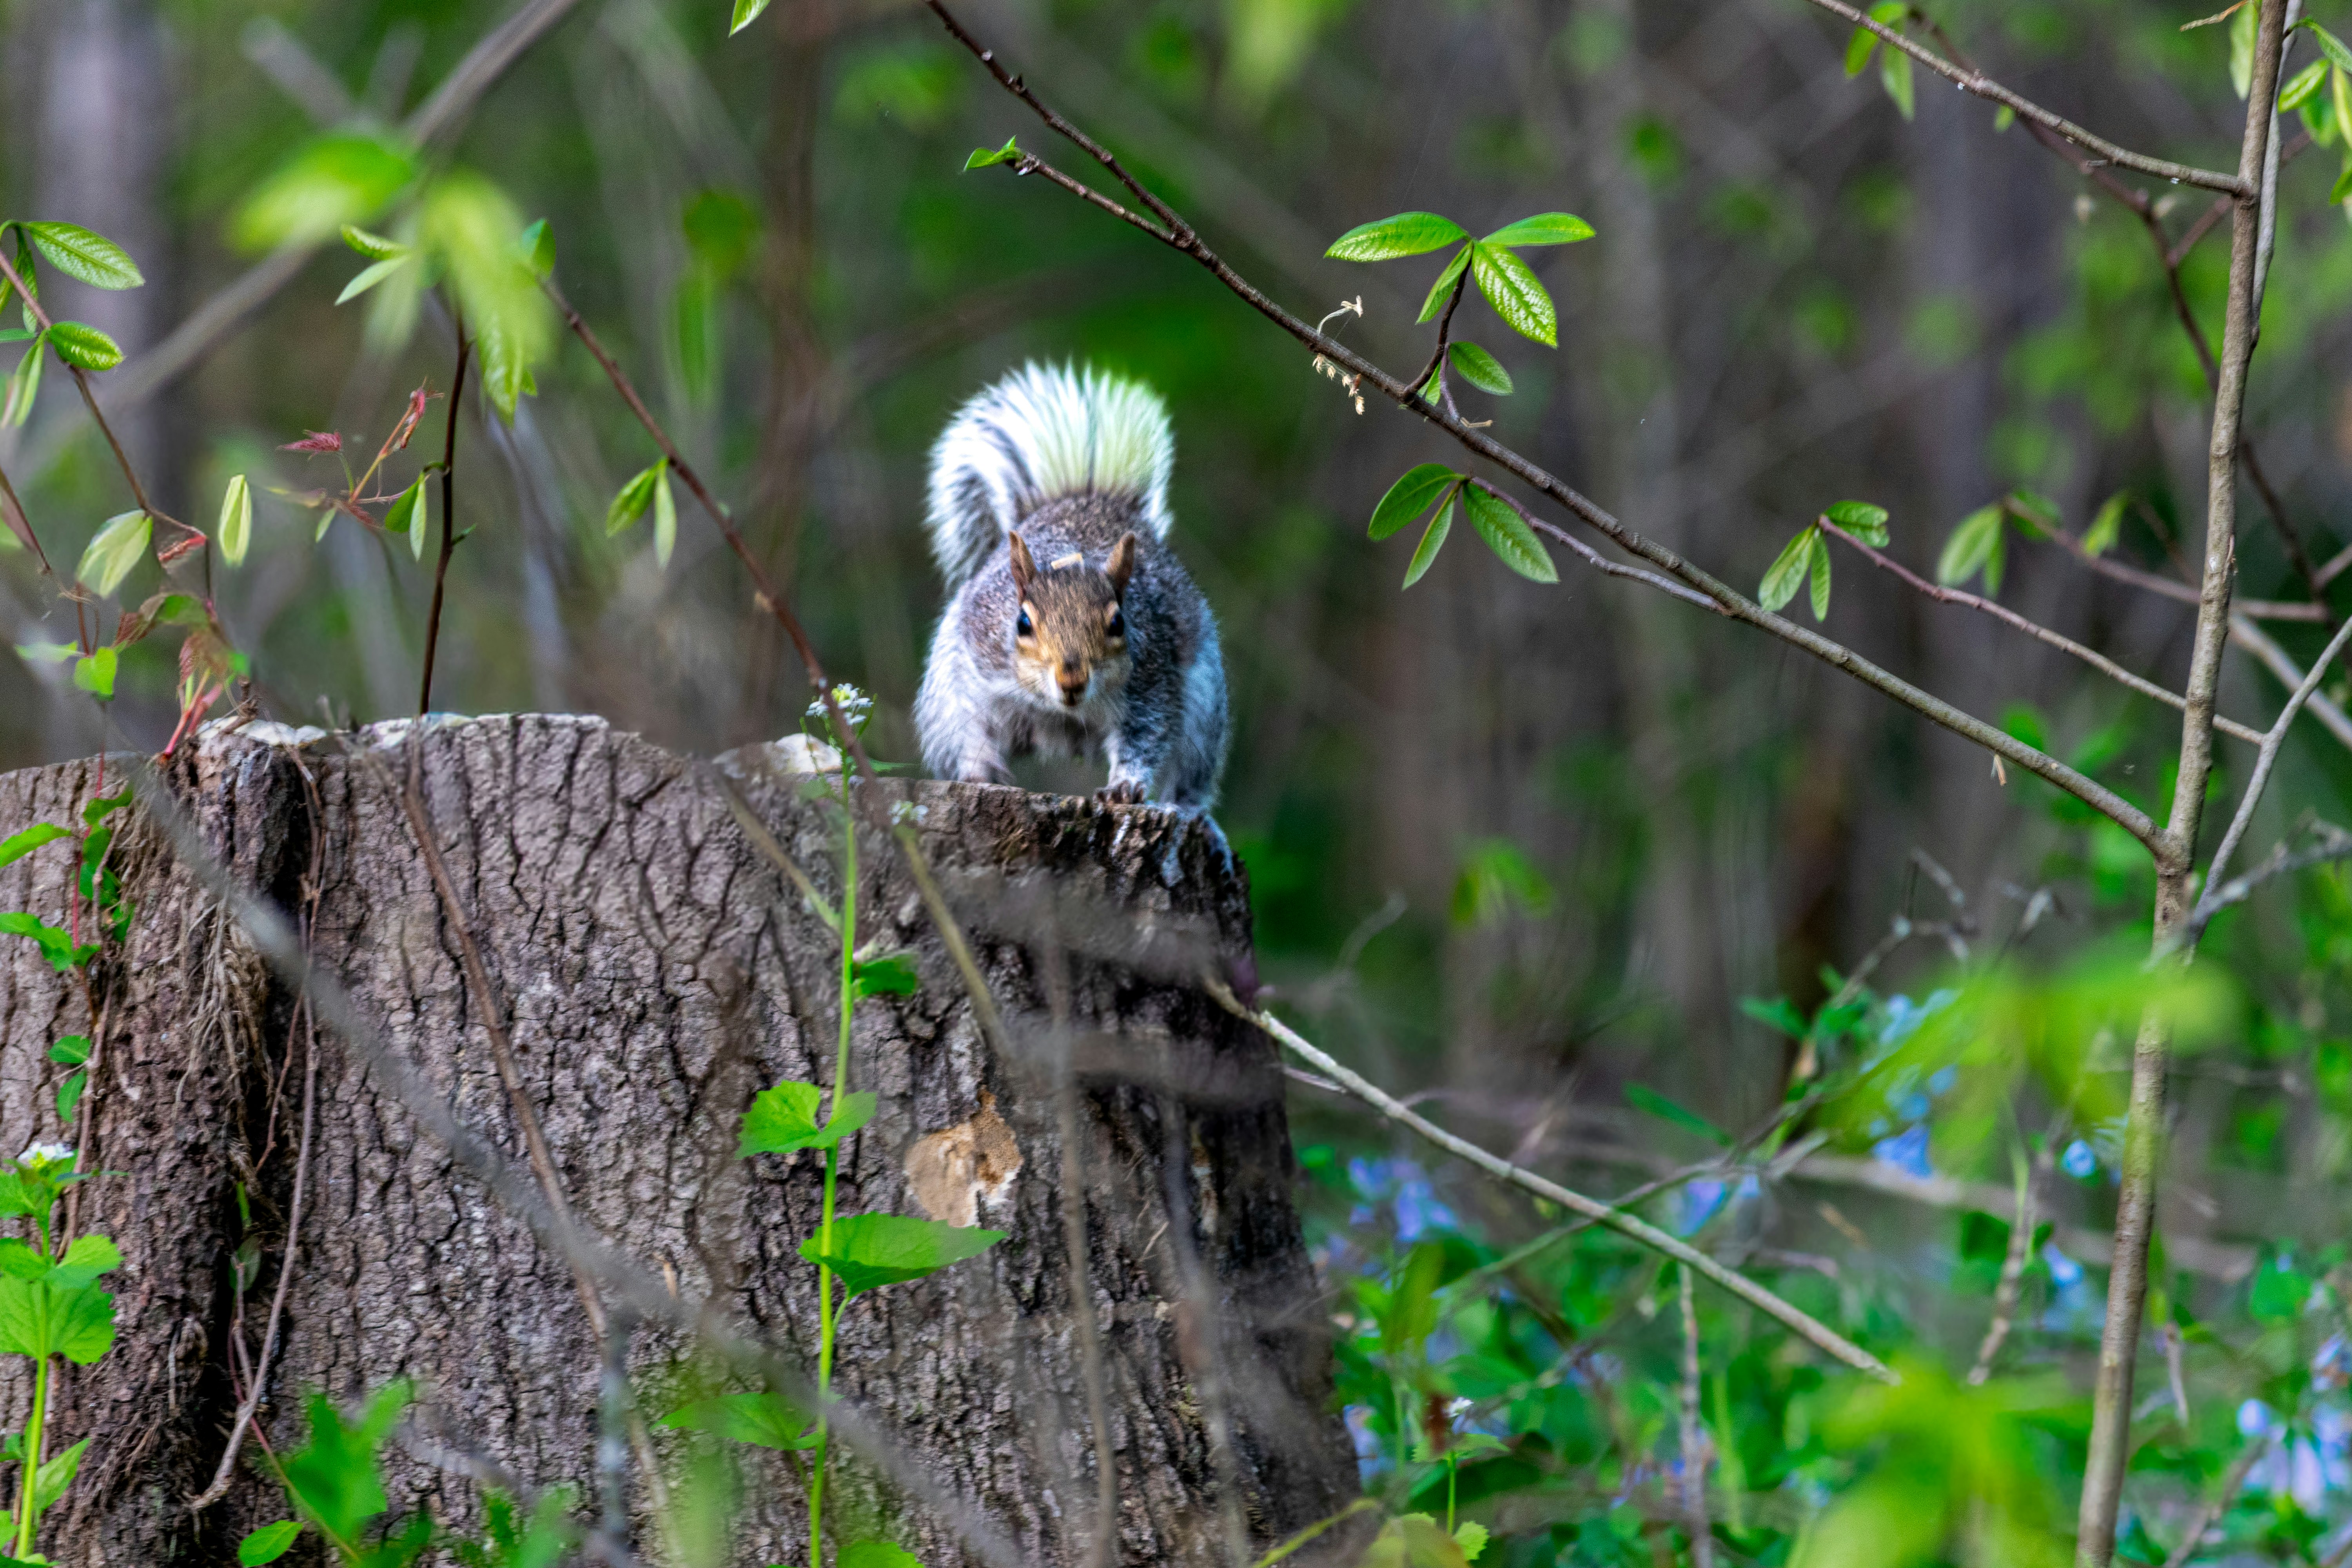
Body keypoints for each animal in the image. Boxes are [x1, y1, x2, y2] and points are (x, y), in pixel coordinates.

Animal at [915, 362, 1229, 810]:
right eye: (1022, 624)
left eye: (1118, 624)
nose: (1072, 681)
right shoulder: (972, 667)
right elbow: (972, 728)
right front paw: (980, 771)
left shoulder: (1152, 681)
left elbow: (1145, 736)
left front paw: (1125, 786)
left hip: (1203, 713)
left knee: (1189, 775)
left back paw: (1182, 807)